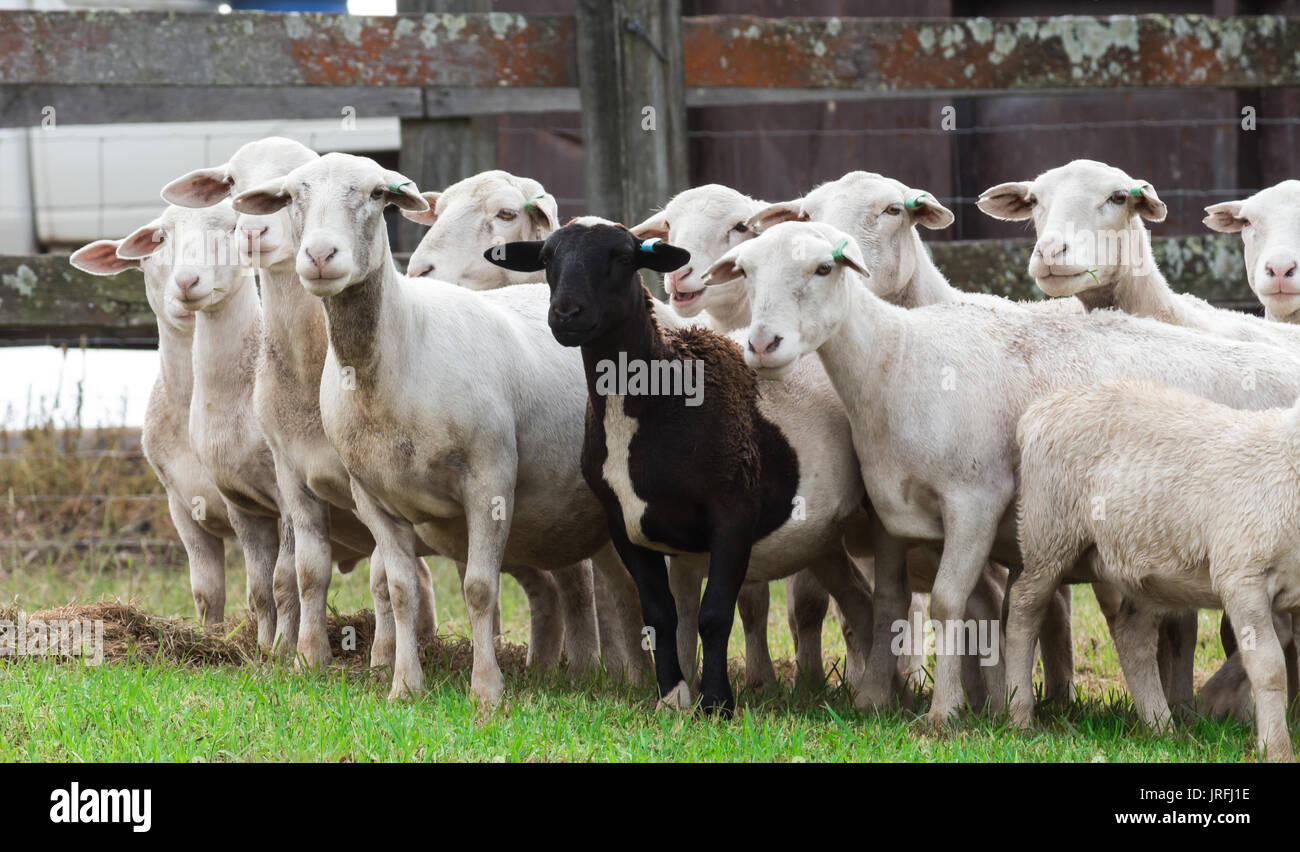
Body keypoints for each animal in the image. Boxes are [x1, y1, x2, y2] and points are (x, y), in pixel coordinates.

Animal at [231, 152, 633, 702]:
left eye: (377, 195)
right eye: (292, 197)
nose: (319, 255)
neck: (398, 350)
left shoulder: (489, 482)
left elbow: (480, 590)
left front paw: (486, 691)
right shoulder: (372, 498)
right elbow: (397, 589)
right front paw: (402, 683)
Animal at [486, 218, 875, 715]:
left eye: (624, 257)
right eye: (546, 257)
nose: (566, 313)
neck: (660, 394)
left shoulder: (733, 516)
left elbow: (713, 616)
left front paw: (718, 704)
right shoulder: (625, 526)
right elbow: (660, 614)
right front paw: (672, 698)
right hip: (823, 536)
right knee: (860, 601)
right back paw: (875, 690)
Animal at [1009, 378, 1300, 761]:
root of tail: (1039, 410)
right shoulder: (1242, 576)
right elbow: (1268, 667)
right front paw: (1277, 750)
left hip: (1145, 566)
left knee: (1132, 635)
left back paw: (1162, 728)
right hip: (1048, 530)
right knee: (1024, 608)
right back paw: (1019, 716)